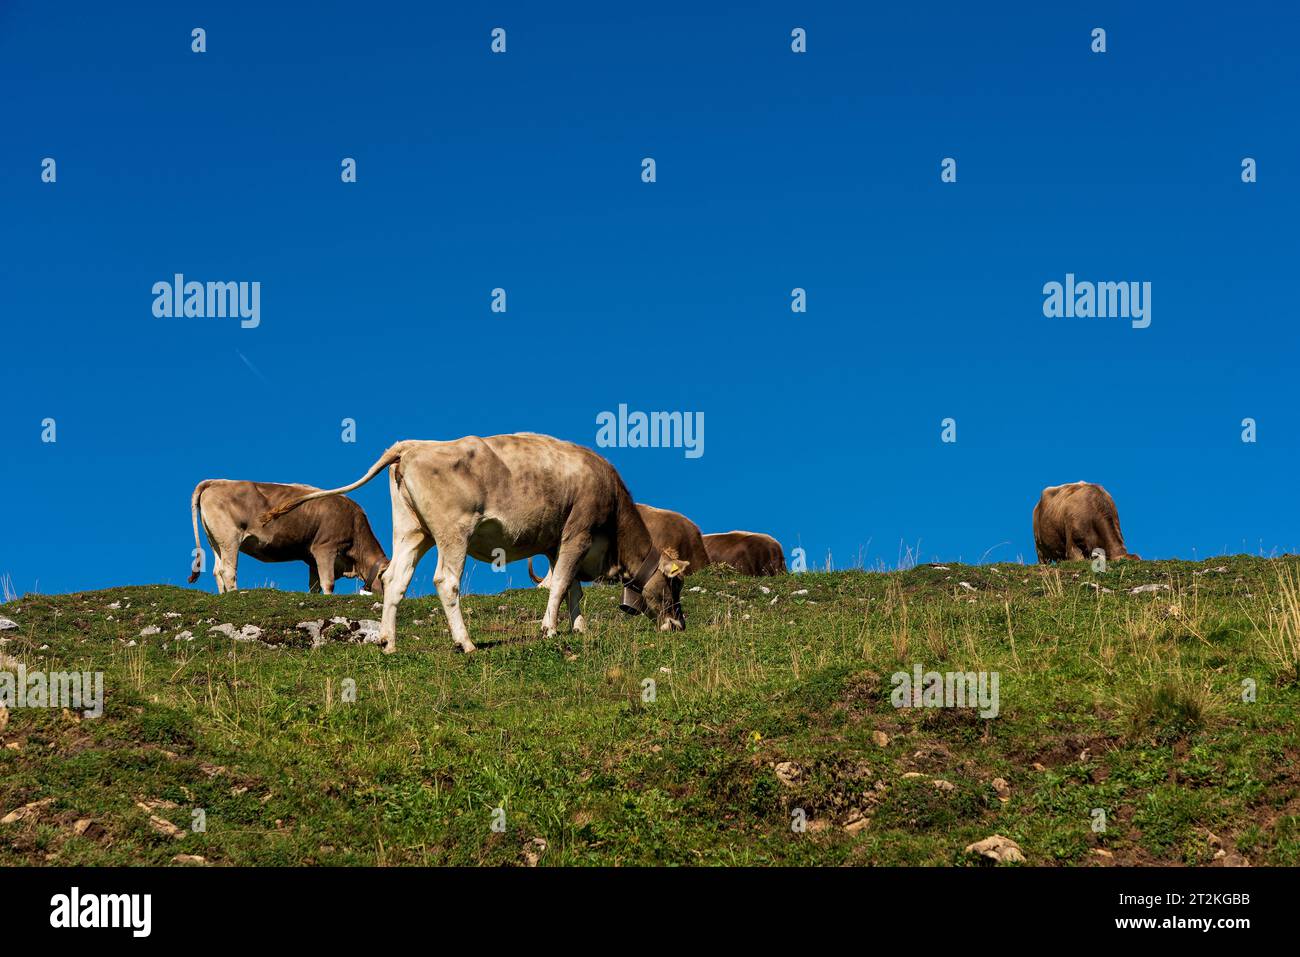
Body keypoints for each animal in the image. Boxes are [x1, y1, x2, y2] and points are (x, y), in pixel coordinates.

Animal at [189, 480, 389, 595]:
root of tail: (215, 481)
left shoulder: (312, 559)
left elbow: (315, 586)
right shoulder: (325, 548)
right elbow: (328, 583)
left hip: (215, 540)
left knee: (217, 570)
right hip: (230, 538)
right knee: (228, 571)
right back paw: (234, 595)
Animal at [261, 434, 691, 655]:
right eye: (675, 584)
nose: (678, 626)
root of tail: (413, 445)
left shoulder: (557, 543)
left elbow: (572, 588)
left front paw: (579, 628)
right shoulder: (577, 532)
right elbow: (559, 585)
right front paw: (550, 629)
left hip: (413, 531)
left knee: (395, 579)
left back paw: (388, 642)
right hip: (453, 532)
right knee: (445, 582)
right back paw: (465, 643)